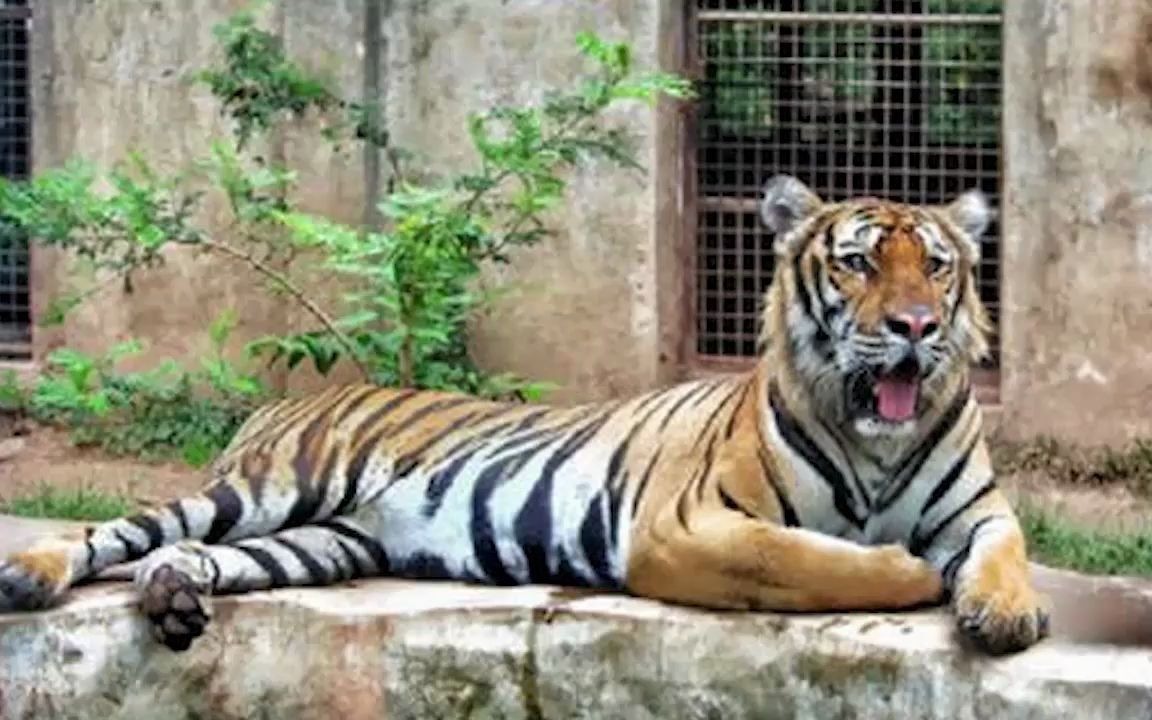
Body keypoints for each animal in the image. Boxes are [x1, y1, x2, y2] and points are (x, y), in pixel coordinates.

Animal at [0, 175, 1048, 655]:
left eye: (937, 266)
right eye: (859, 263)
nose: (915, 327)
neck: (879, 444)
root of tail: (288, 398)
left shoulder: (981, 512)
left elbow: (1004, 552)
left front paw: (1005, 610)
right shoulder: (688, 527)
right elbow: (812, 561)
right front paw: (910, 574)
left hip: (325, 539)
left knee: (192, 555)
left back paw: (174, 597)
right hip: (269, 487)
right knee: (118, 531)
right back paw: (31, 574)